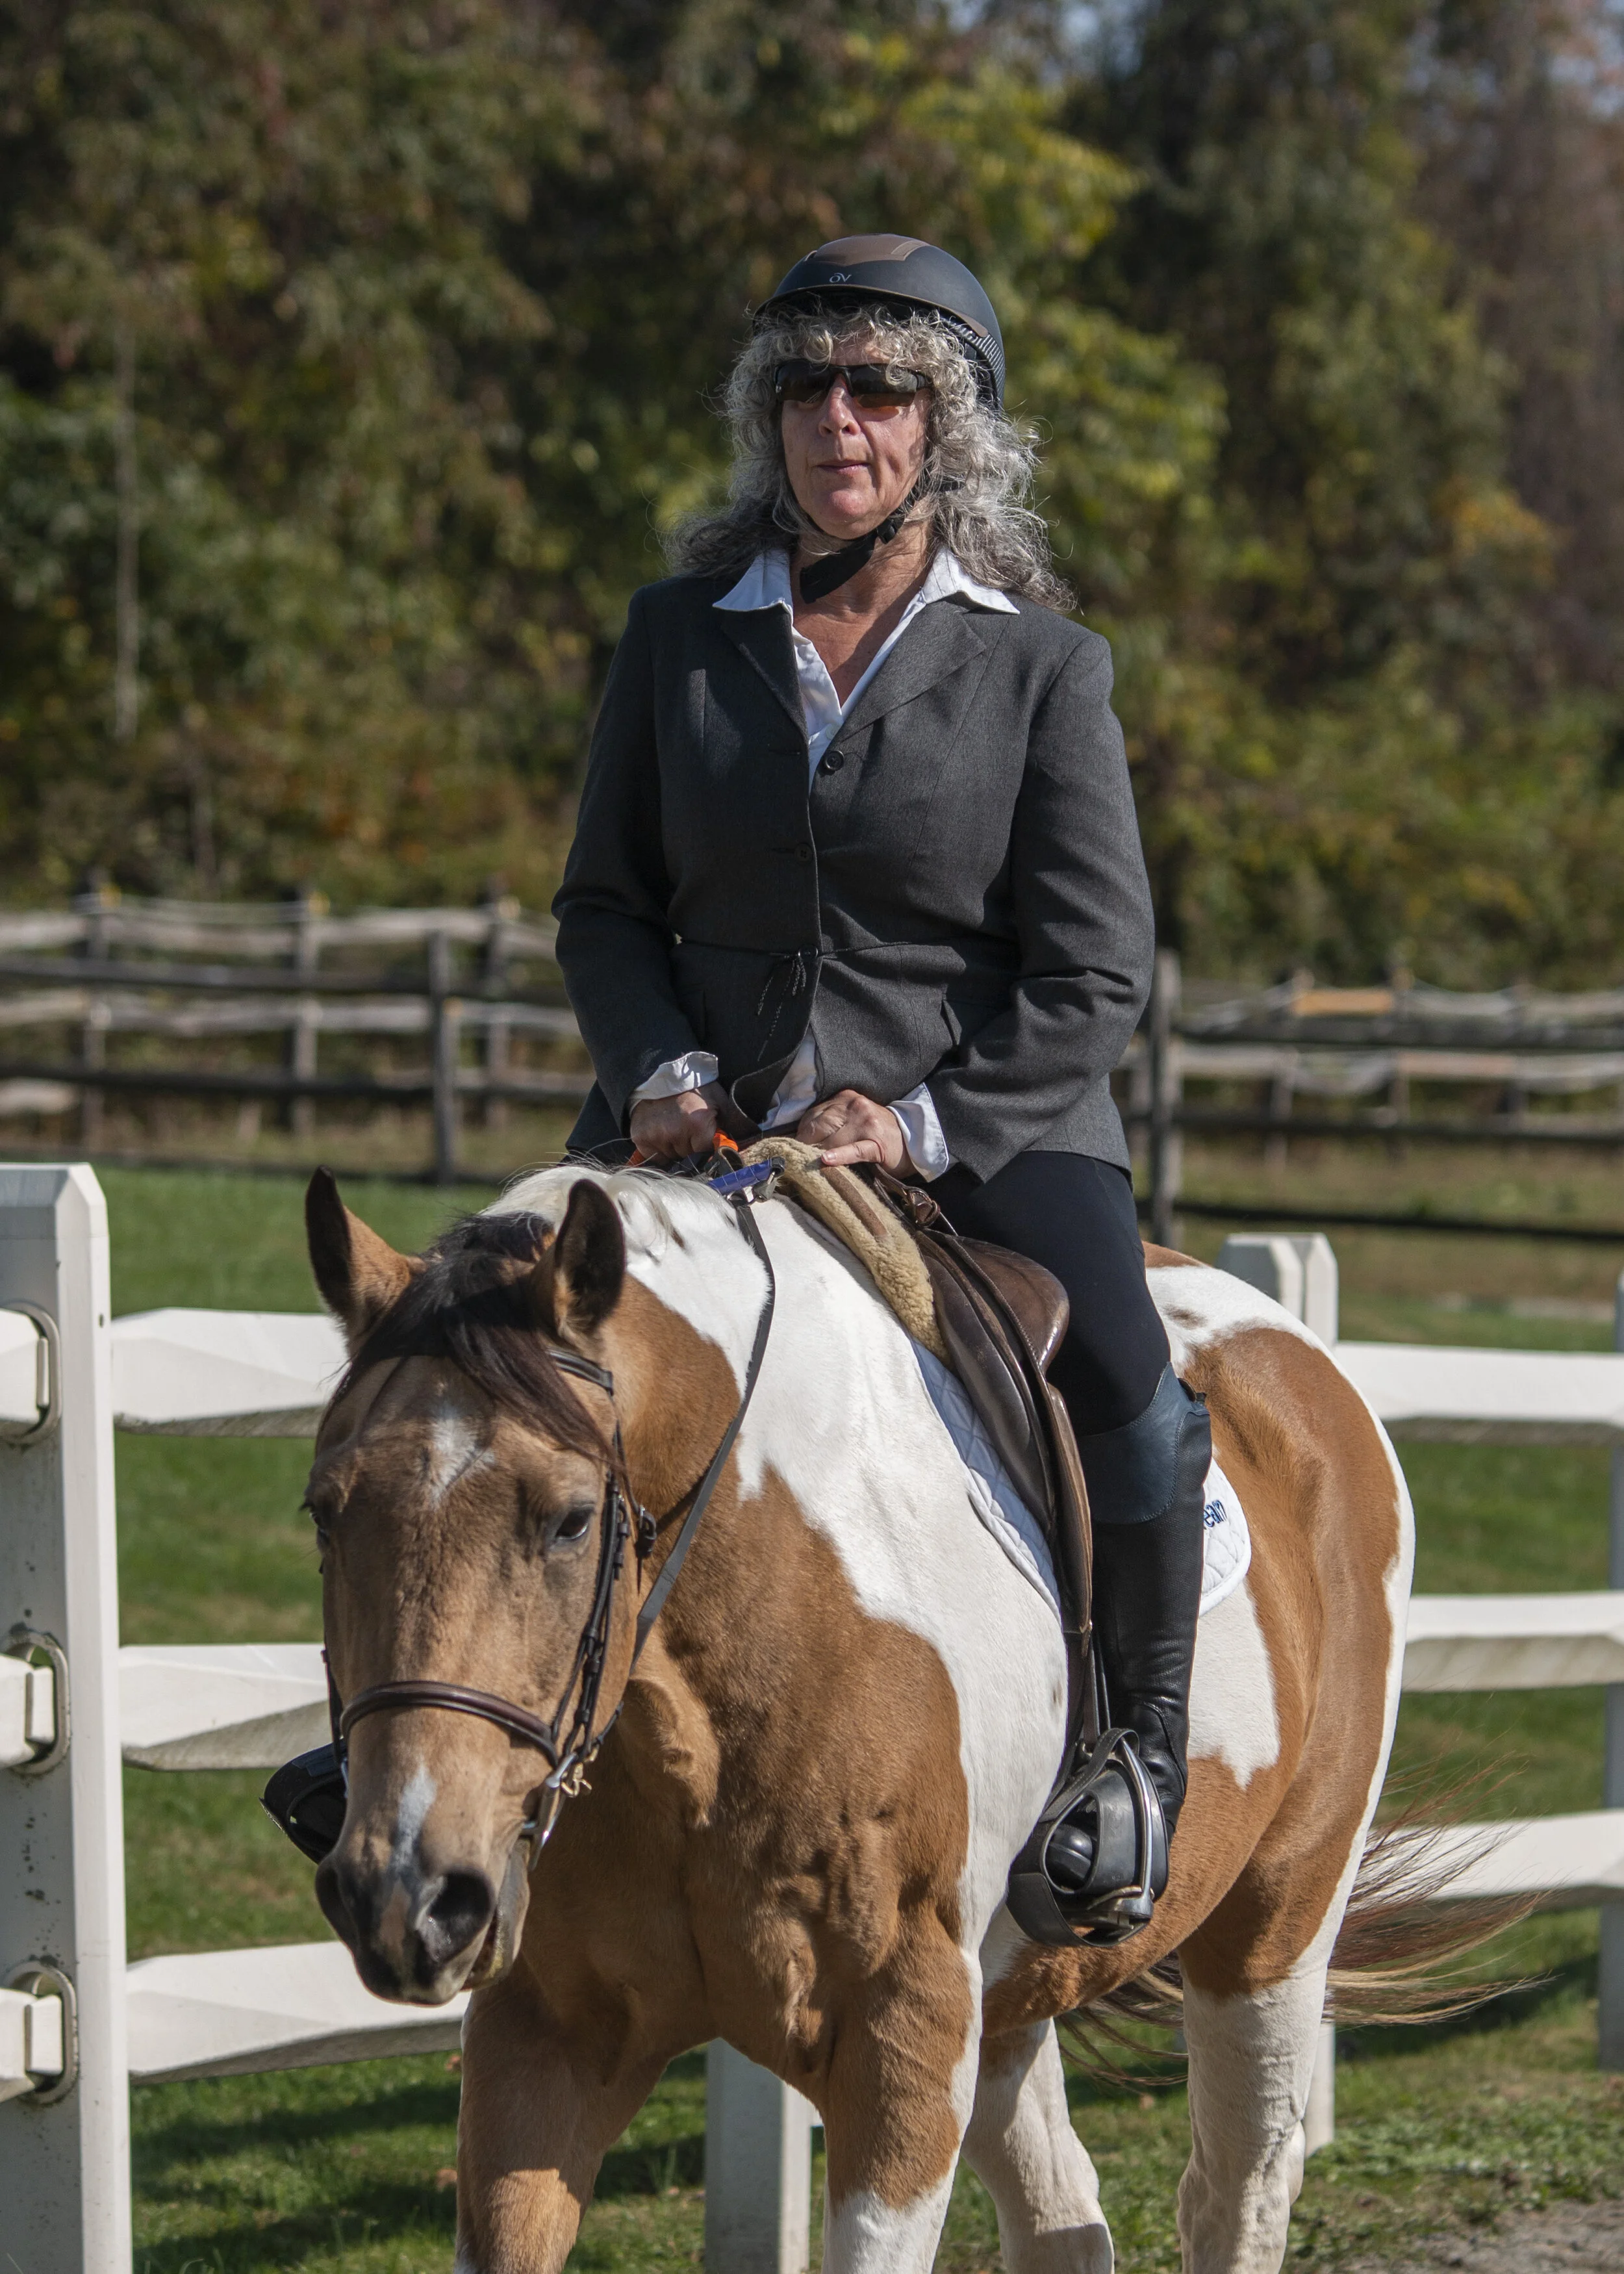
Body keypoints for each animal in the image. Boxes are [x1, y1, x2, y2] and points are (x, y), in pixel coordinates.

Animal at [301, 1159, 1412, 2274]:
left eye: (572, 1520)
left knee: (1237, 2189)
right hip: (1010, 2001)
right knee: (1065, 2215)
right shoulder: (543, 2032)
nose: (408, 1897)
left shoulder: (903, 2039)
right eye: (325, 1511)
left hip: (1274, 1926)